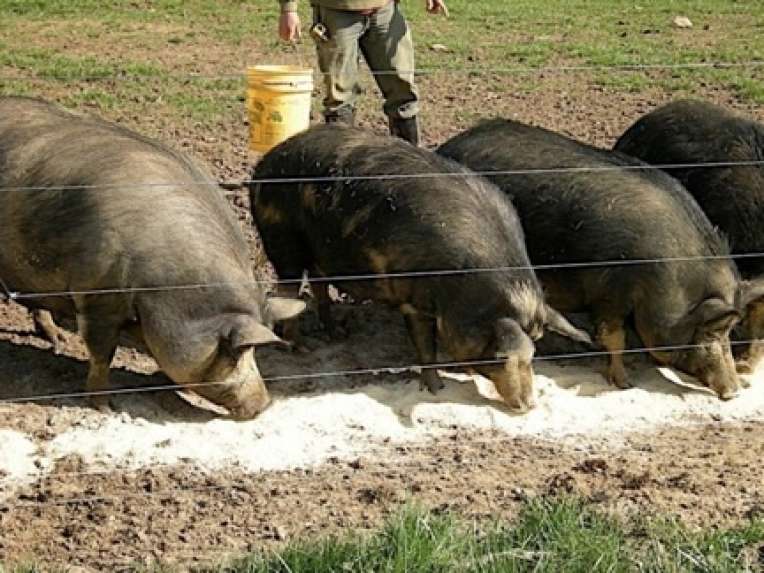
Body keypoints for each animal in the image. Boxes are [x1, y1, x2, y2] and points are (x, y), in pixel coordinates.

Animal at [0, 96, 304, 419]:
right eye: (233, 353)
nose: (264, 404)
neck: (164, 287)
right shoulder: (97, 295)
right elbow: (102, 354)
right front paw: (106, 407)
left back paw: (58, 340)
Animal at [249, 124, 591, 413]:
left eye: (534, 353)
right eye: (502, 357)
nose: (528, 406)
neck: (462, 289)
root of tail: (263, 166)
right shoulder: (414, 298)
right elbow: (425, 344)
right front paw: (436, 389)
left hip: (319, 252)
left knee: (319, 283)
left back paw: (336, 334)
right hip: (281, 242)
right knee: (290, 289)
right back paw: (301, 348)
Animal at [439, 118, 744, 400]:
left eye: (729, 332)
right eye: (712, 333)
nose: (733, 391)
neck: (667, 276)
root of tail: (451, 143)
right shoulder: (610, 292)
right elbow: (614, 338)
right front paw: (624, 384)